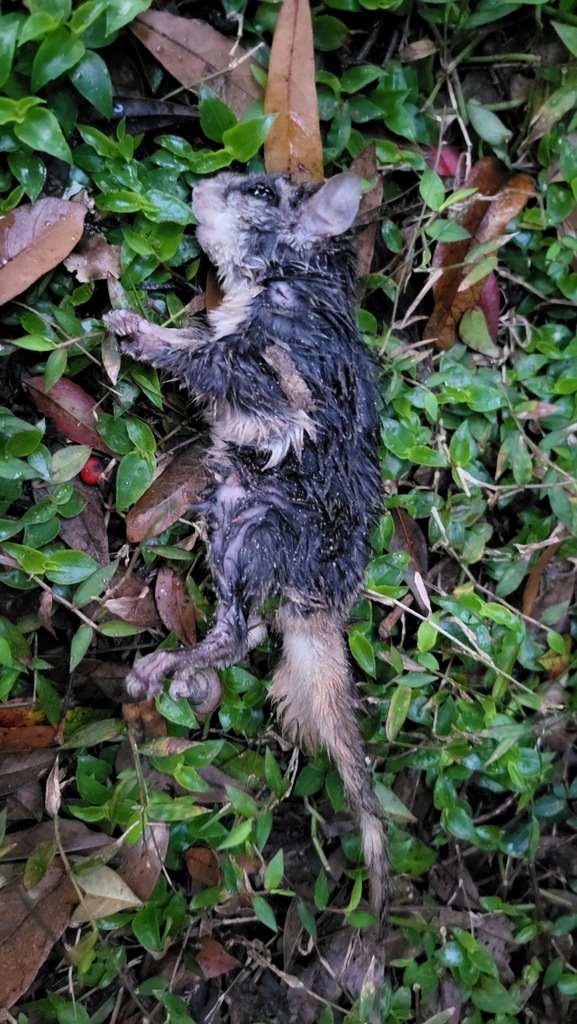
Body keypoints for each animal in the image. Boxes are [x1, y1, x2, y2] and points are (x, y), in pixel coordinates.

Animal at [104, 172, 390, 914]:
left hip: (252, 525)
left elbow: (198, 353)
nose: (198, 187)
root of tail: (319, 606)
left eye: (257, 189)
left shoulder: (263, 361)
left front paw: (130, 325)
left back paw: (159, 669)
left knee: (241, 634)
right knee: (249, 632)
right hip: (229, 517)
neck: (286, 275)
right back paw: (175, 670)